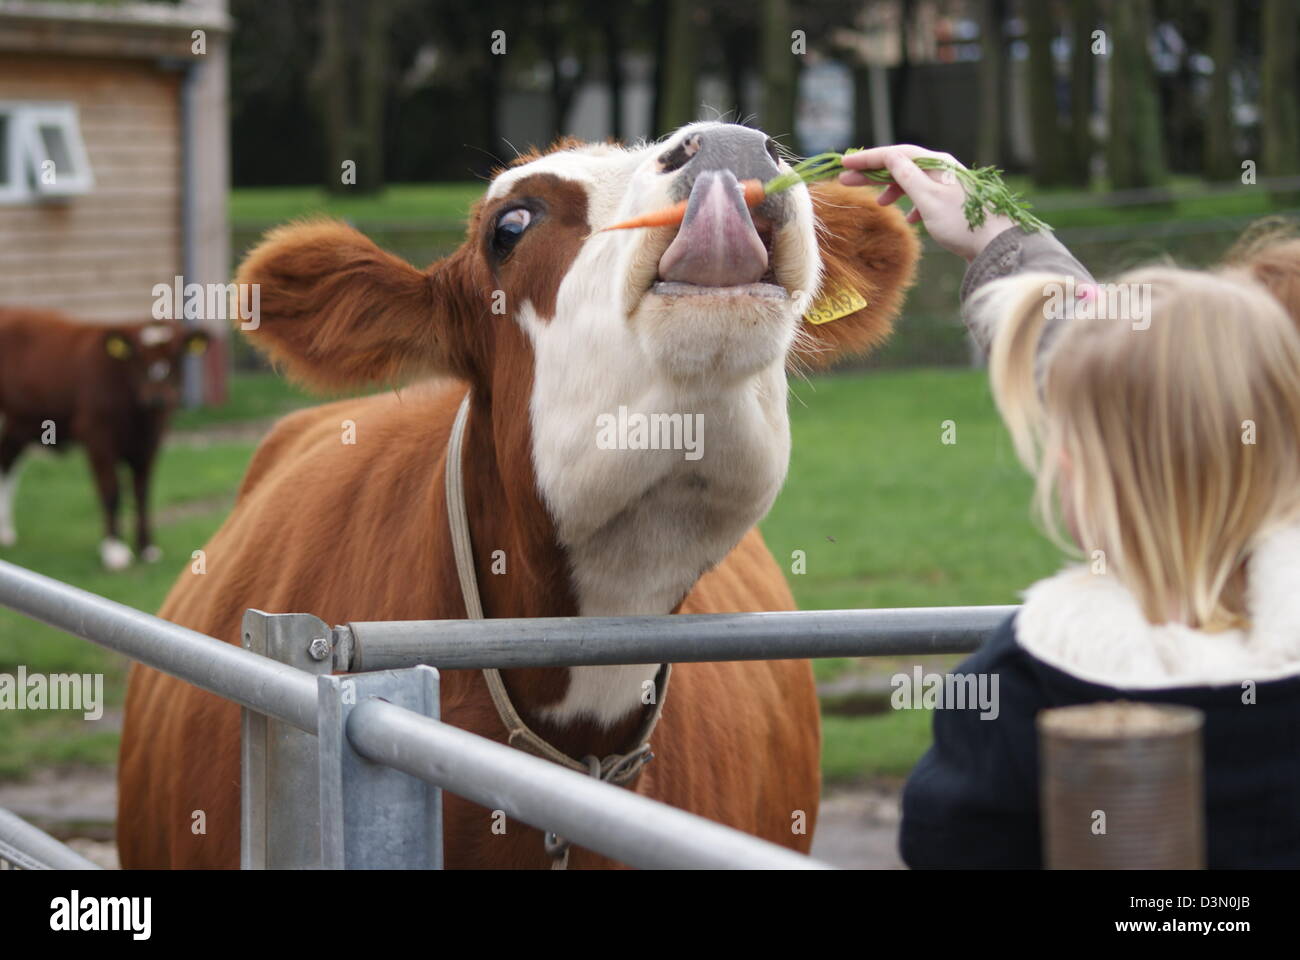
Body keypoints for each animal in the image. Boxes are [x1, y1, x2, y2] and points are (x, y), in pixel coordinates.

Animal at [0, 308, 208, 570]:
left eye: (176, 355)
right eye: (138, 357)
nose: (158, 397)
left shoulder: (150, 443)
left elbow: (142, 492)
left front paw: (147, 547)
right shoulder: (98, 438)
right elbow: (111, 492)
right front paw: (114, 550)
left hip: (18, 425)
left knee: (8, 465)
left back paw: (6, 531)